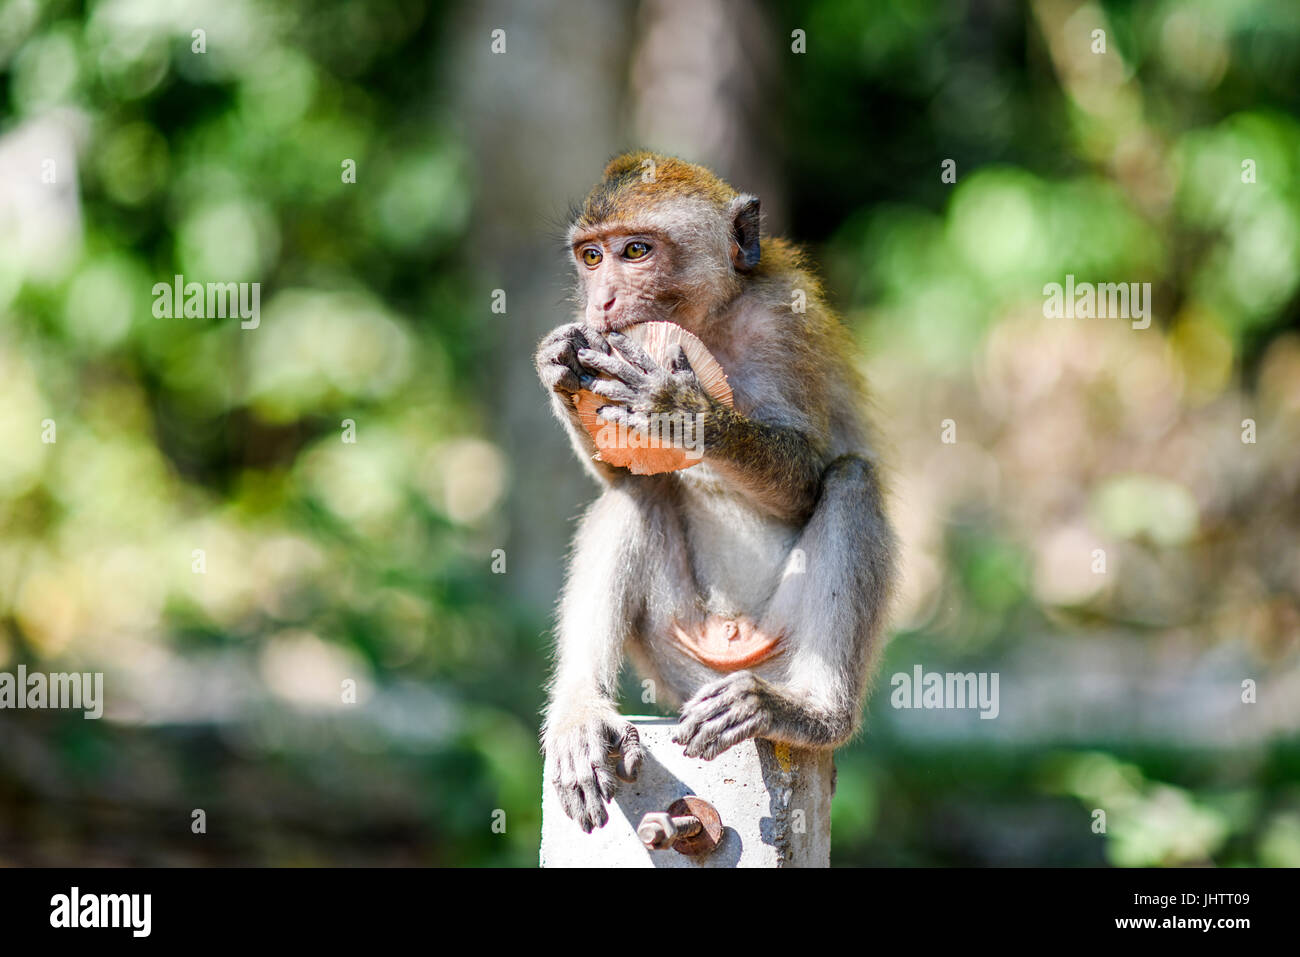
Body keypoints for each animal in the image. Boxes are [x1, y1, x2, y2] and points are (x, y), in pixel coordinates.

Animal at [534, 151, 896, 833]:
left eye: (636, 250)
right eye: (591, 256)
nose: (602, 303)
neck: (708, 323)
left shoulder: (783, 321)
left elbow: (805, 485)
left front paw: (682, 411)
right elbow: (624, 477)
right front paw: (558, 363)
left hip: (770, 651)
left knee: (852, 479)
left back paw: (810, 711)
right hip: (679, 660)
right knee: (636, 499)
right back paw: (582, 716)